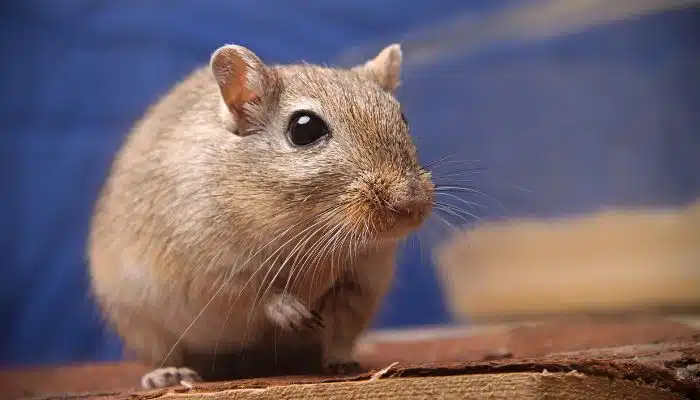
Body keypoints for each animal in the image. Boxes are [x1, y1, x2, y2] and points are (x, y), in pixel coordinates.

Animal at [87, 42, 434, 389]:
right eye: (304, 129)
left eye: (402, 117)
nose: (410, 205)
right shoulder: (216, 274)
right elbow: (260, 295)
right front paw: (295, 313)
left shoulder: (361, 281)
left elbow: (340, 329)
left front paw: (342, 362)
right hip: (137, 317)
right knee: (163, 353)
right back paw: (170, 374)